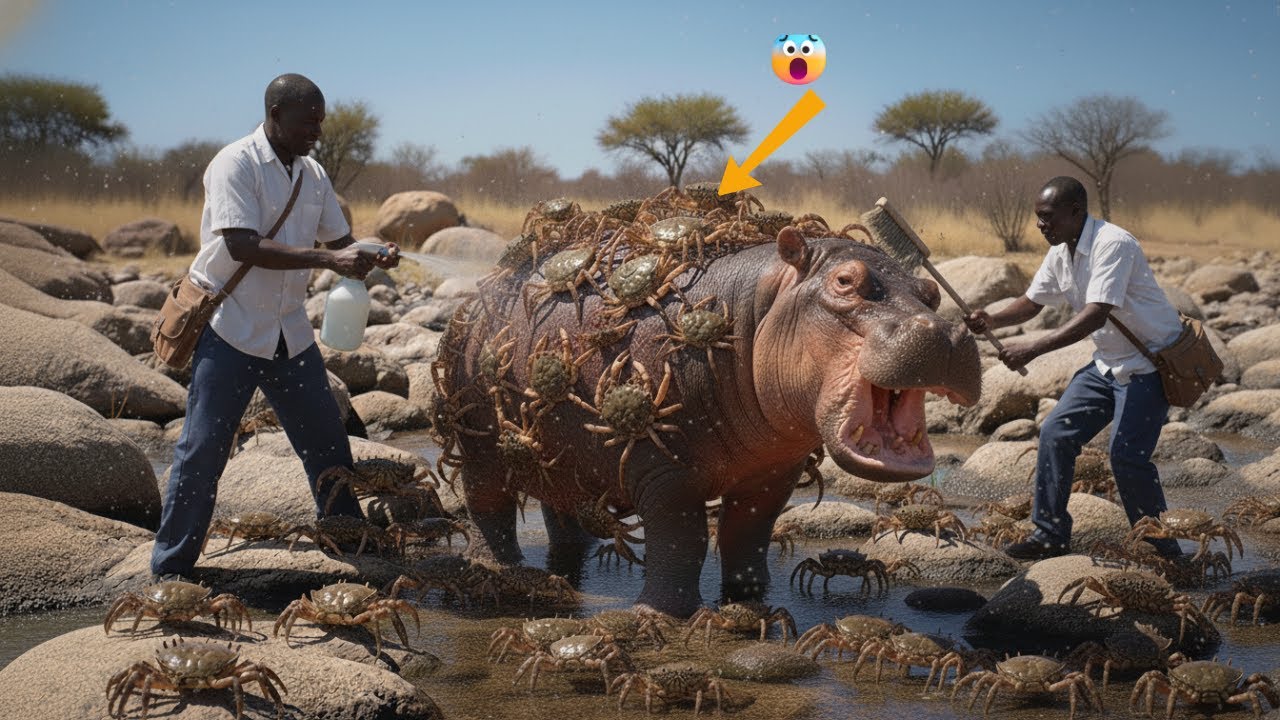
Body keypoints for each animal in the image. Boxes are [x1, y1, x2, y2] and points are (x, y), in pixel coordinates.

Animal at [431, 197, 980, 617]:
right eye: (846, 282)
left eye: (930, 292)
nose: (945, 332)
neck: (760, 303)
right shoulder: (666, 472)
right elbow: (683, 538)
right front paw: (662, 613)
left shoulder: (772, 475)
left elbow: (748, 534)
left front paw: (748, 598)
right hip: (482, 449)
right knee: (488, 508)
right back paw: (498, 568)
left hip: (560, 452)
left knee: (560, 504)